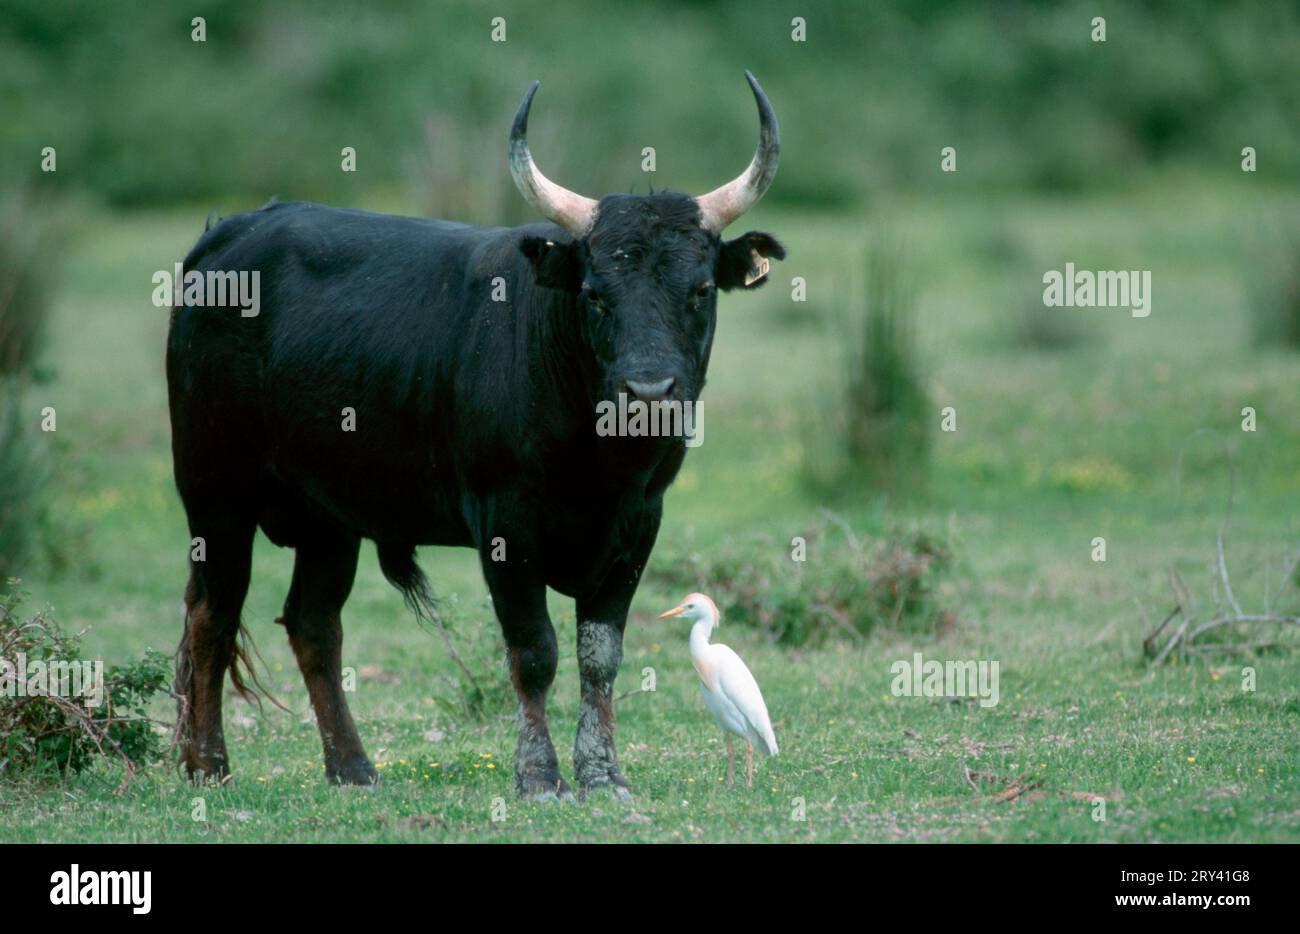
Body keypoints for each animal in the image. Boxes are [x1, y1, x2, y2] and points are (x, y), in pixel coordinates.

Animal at [167, 71, 784, 800]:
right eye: (596, 293)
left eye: (699, 290)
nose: (650, 392)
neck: (600, 461)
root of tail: (228, 236)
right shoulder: (506, 525)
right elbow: (535, 651)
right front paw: (539, 774)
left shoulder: (639, 526)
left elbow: (600, 656)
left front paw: (603, 773)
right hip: (215, 496)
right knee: (212, 615)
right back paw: (209, 765)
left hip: (328, 520)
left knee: (313, 623)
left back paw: (352, 768)